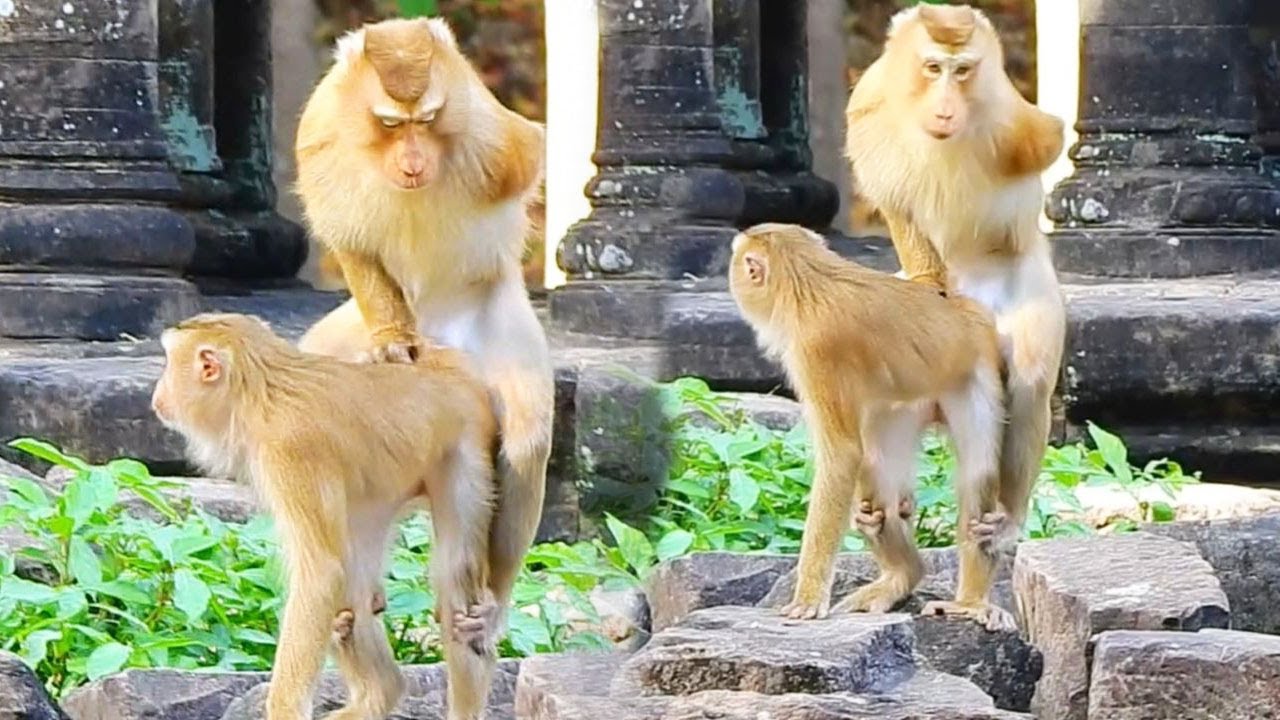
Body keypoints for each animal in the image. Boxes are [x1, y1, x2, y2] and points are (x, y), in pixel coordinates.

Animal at [151, 313, 500, 720]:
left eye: (169, 363)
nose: (157, 392)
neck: (260, 392)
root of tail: (446, 366)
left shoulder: (288, 453)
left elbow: (320, 575)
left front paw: (284, 706)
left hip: (464, 445)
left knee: (452, 572)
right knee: (360, 581)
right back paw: (380, 692)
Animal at [292, 17, 553, 651]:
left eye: (428, 120)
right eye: (391, 124)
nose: (412, 163)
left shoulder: (491, 139)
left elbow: (531, 155)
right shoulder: (322, 131)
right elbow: (347, 232)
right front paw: (389, 337)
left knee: (525, 438)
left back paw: (491, 603)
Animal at [728, 223, 1012, 631]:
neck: (806, 282)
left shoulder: (815, 352)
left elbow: (841, 455)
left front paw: (808, 598)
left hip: (972, 375)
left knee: (976, 475)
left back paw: (970, 601)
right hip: (902, 407)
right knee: (879, 473)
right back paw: (902, 576)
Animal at [845, 4, 1066, 558]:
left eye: (962, 70)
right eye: (932, 67)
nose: (946, 109)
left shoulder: (1012, 117)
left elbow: (1046, 143)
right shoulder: (872, 98)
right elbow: (893, 192)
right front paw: (927, 275)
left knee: (1029, 381)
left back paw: (1007, 517)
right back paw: (877, 509)